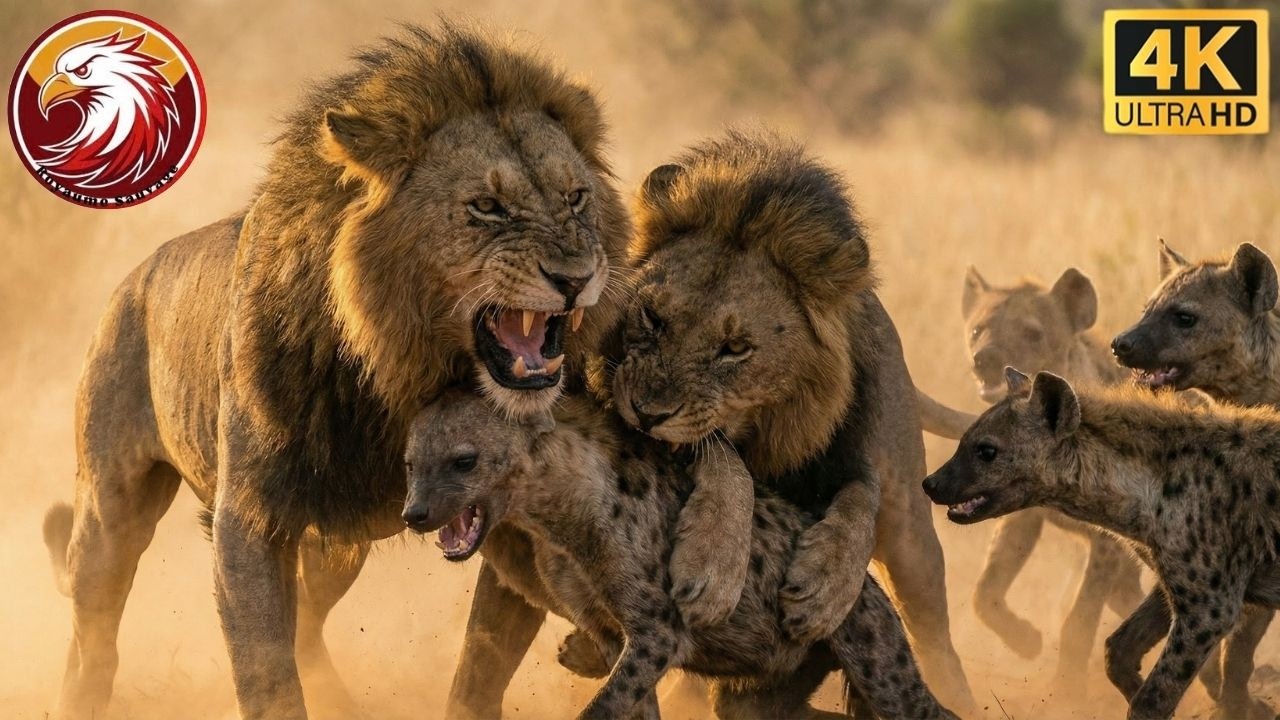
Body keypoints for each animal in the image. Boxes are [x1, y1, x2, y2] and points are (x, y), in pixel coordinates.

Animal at [41, 23, 628, 720]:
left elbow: (482, 668)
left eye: (576, 198)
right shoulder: (250, 520)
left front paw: (586, 649)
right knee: (92, 634)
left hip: (334, 546)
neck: (405, 371)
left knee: (309, 626)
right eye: (486, 206)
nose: (576, 278)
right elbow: (267, 675)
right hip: (111, 505)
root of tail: (132, 278)